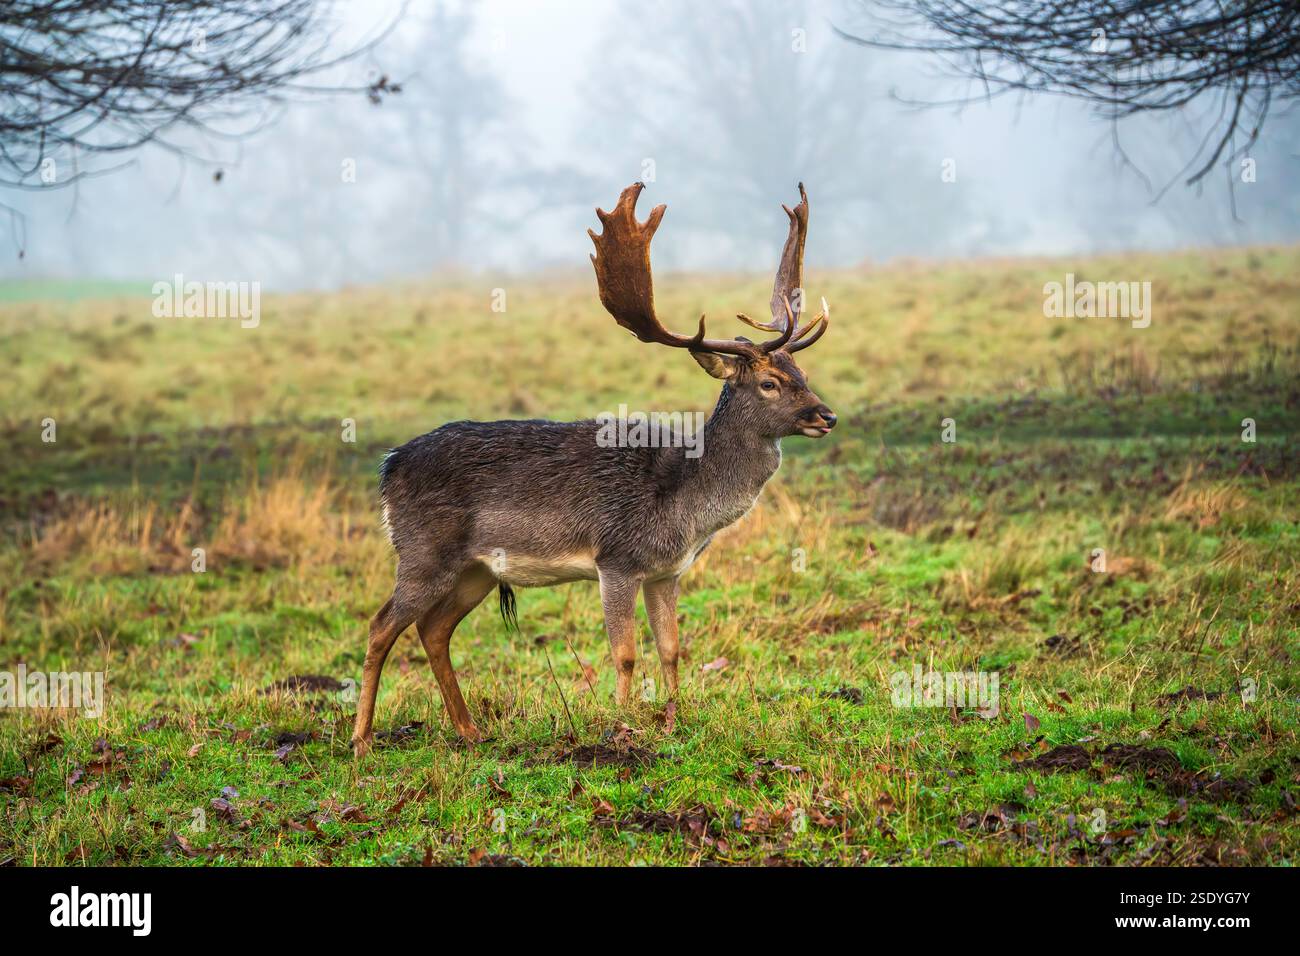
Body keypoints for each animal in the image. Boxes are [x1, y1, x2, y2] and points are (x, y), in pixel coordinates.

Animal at [351, 181, 836, 756]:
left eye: (801, 371)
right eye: (769, 383)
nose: (827, 415)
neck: (682, 504)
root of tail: (389, 467)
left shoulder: (667, 571)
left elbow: (672, 648)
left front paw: (673, 723)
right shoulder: (617, 558)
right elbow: (625, 654)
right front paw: (621, 728)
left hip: (476, 569)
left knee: (433, 629)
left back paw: (470, 730)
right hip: (424, 550)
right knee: (382, 625)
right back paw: (361, 740)